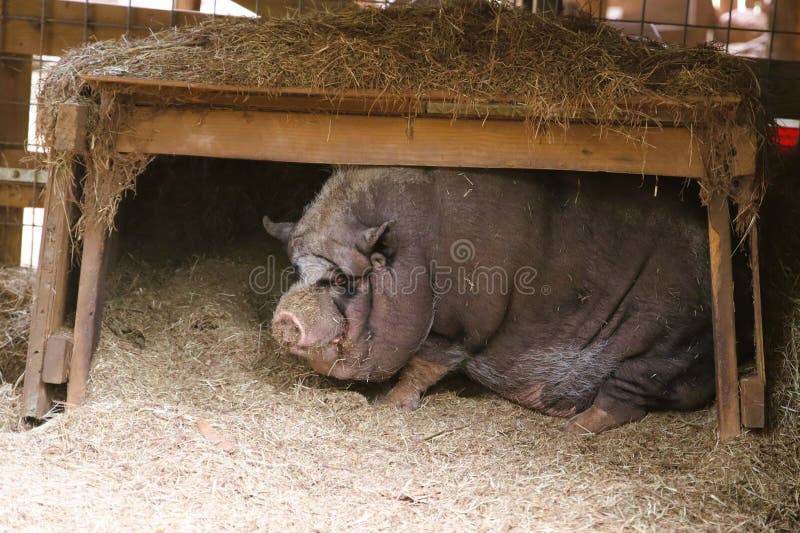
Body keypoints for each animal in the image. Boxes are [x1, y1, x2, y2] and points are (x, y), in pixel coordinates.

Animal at [265, 166, 716, 434]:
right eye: (297, 270)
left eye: (343, 279)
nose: (285, 317)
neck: (418, 261)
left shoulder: (457, 327)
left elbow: (423, 366)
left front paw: (388, 406)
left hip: (664, 347)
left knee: (625, 398)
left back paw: (573, 430)